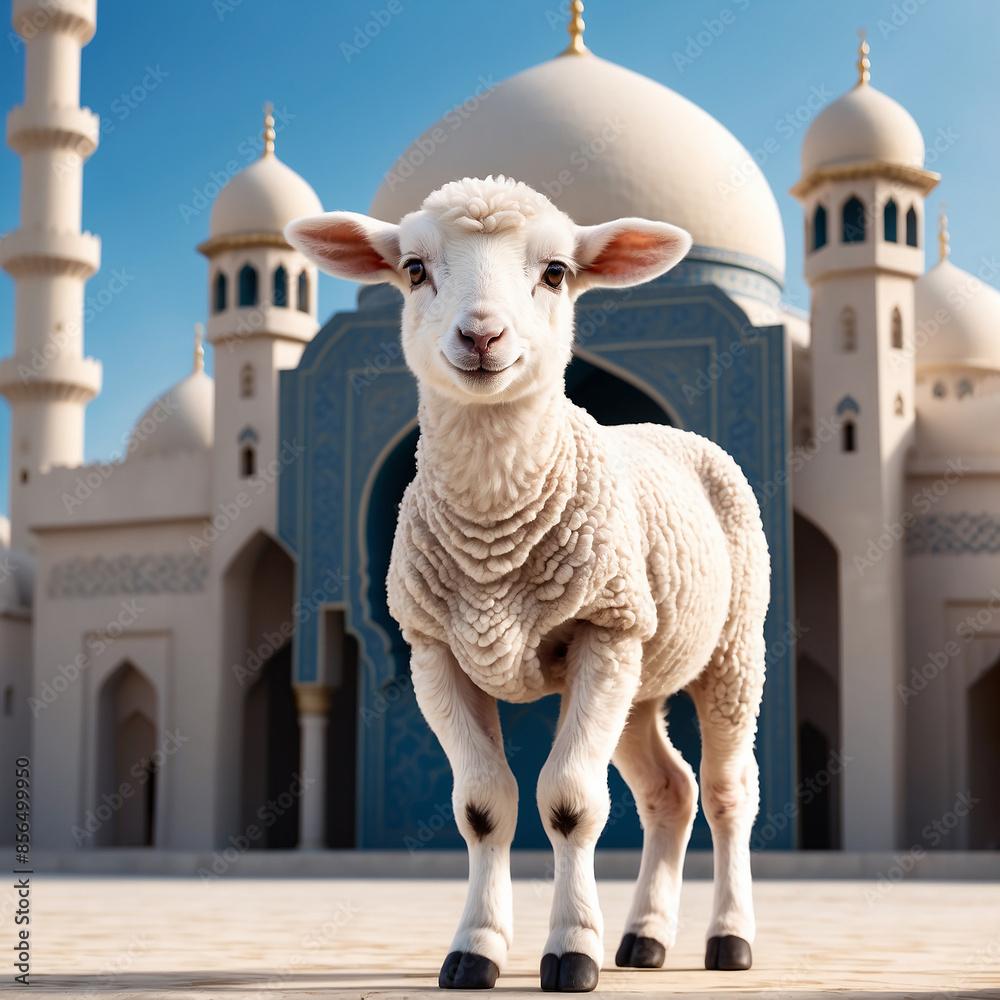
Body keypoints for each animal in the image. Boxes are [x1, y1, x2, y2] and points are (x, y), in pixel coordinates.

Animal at [286, 175, 770, 994]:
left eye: (556, 272)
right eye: (414, 268)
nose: (482, 337)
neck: (492, 551)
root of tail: (666, 432)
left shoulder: (601, 631)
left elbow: (571, 803)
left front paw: (571, 951)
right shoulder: (433, 651)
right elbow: (483, 807)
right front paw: (475, 950)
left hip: (732, 645)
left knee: (730, 789)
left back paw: (729, 938)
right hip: (639, 668)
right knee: (669, 790)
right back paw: (645, 937)